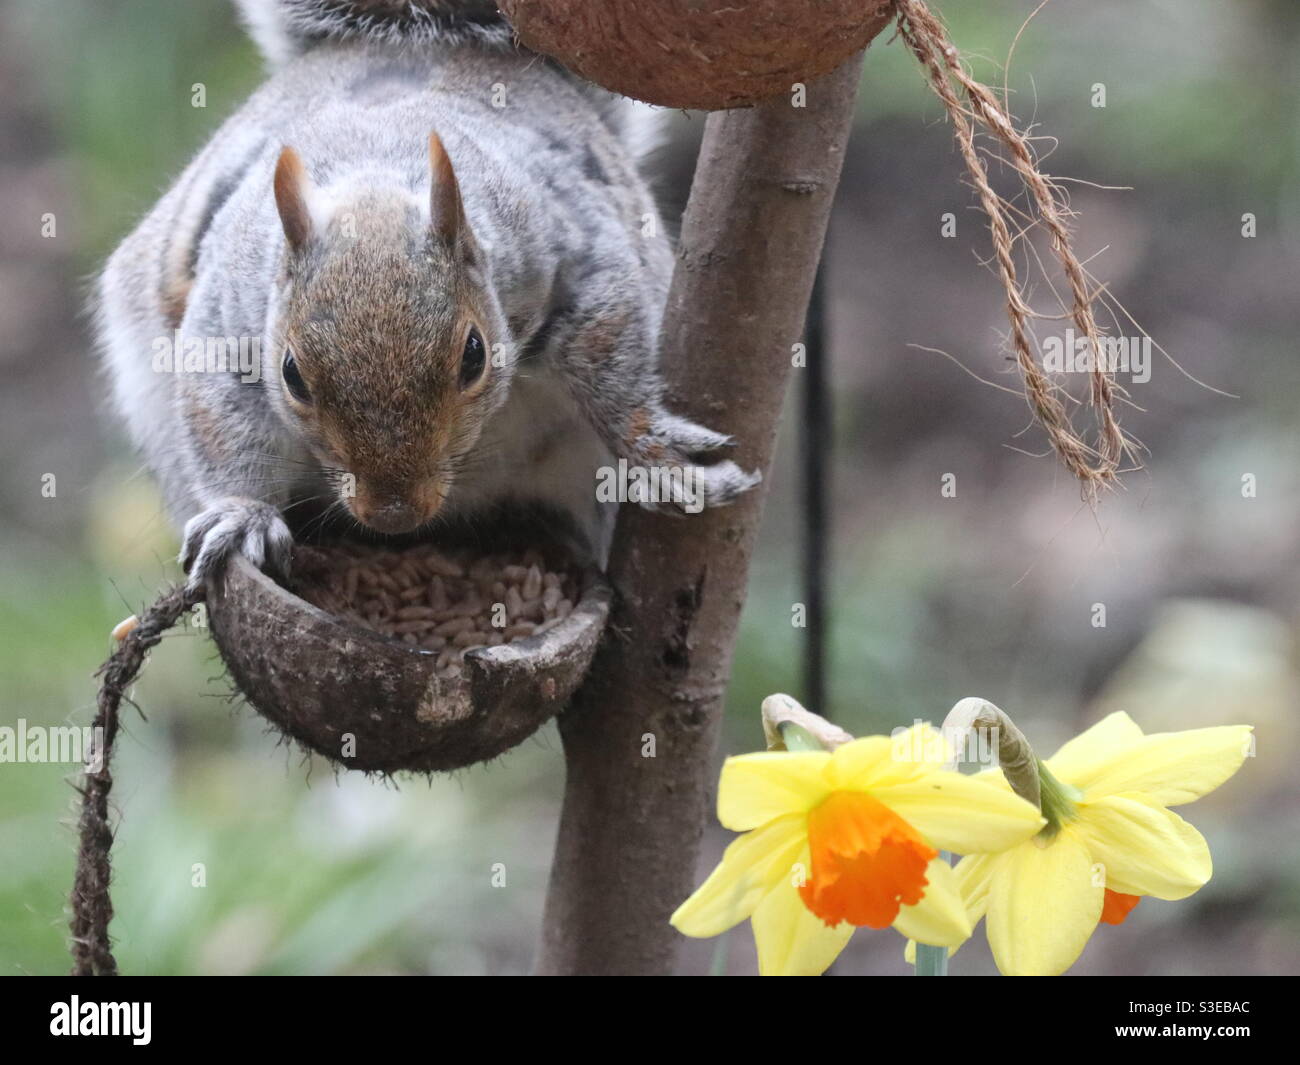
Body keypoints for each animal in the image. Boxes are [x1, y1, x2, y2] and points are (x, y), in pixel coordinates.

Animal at [97, 0, 759, 591]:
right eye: (291, 376)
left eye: (474, 356)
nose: (394, 515)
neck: (375, 180)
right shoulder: (228, 317)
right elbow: (223, 423)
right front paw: (242, 516)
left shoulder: (572, 251)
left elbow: (609, 359)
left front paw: (657, 458)